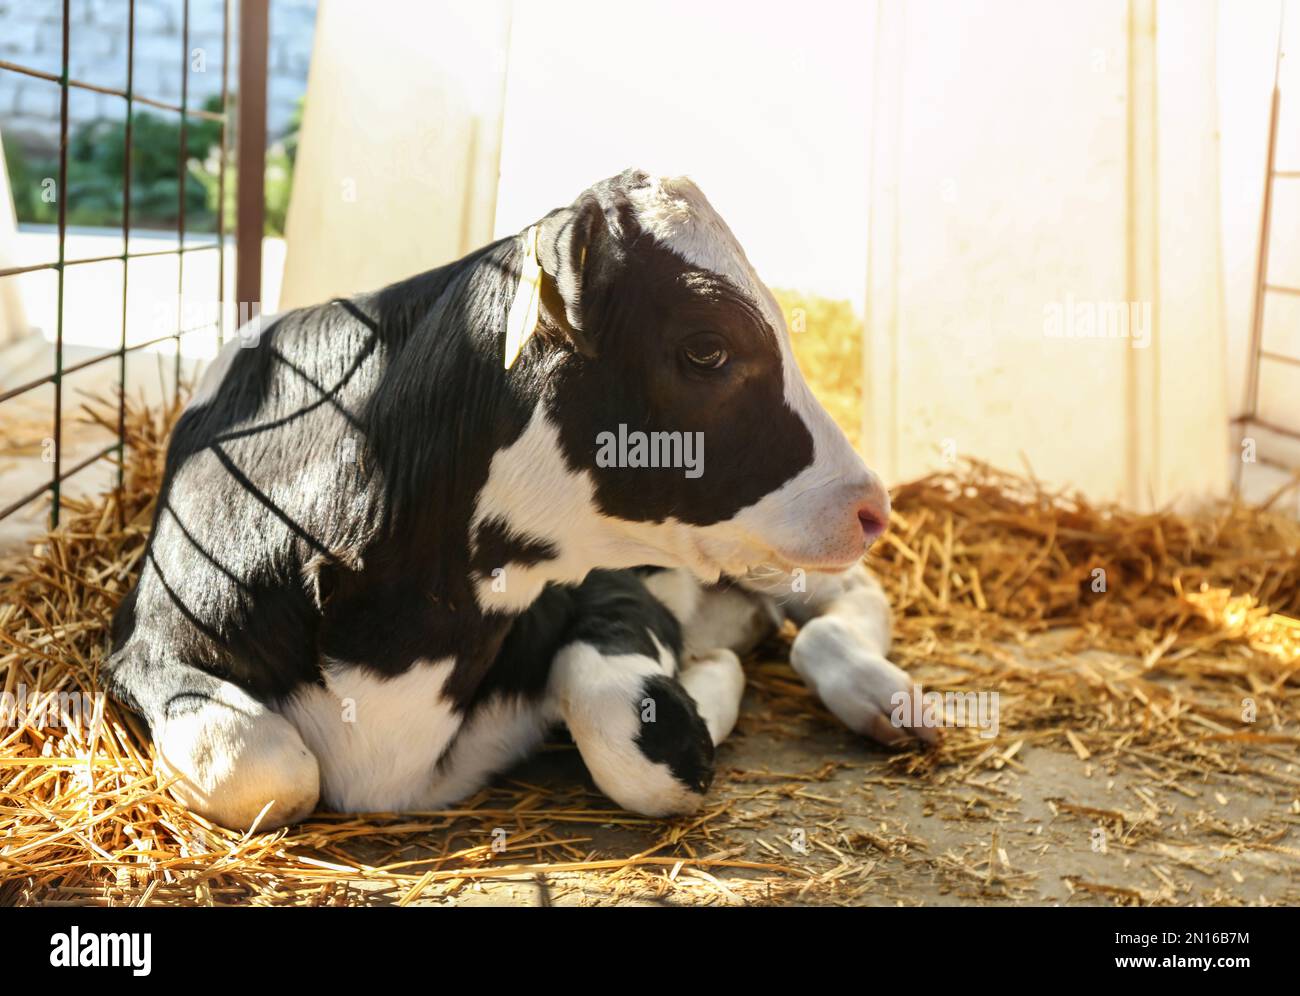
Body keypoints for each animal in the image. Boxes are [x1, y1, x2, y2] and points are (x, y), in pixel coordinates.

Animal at [107, 169, 932, 831]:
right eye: (707, 348)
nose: (872, 506)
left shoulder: (614, 590)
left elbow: (637, 744)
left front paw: (708, 684)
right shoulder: (142, 646)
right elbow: (253, 765)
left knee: (838, 608)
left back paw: (886, 698)